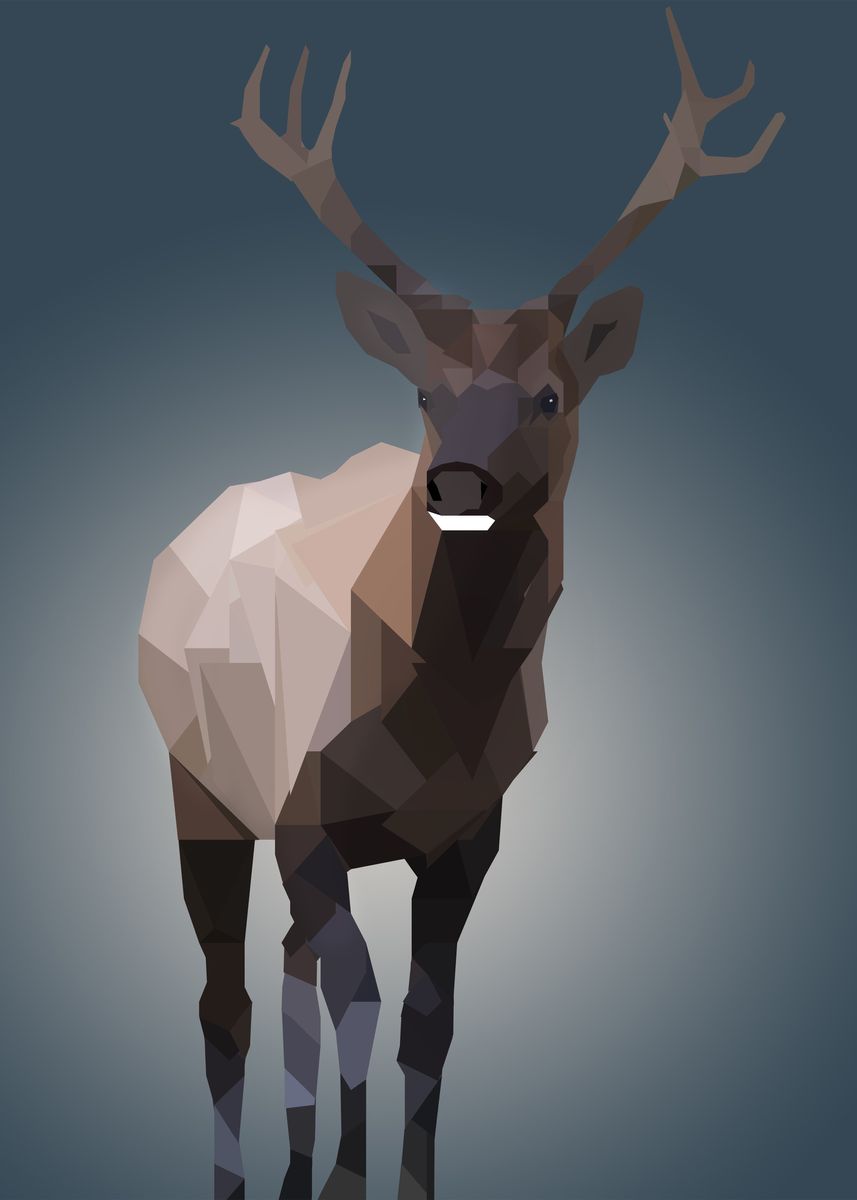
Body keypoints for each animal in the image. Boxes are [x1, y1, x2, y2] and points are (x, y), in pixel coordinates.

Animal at [138, 9, 783, 1199]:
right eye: (422, 392)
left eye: (548, 393)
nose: (456, 485)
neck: (430, 724)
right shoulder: (302, 811)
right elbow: (358, 997)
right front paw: (347, 1185)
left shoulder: (468, 834)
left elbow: (425, 1024)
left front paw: (397, 1185)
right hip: (197, 781)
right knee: (227, 998)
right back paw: (243, 1181)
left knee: (289, 968)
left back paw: (290, 1171)